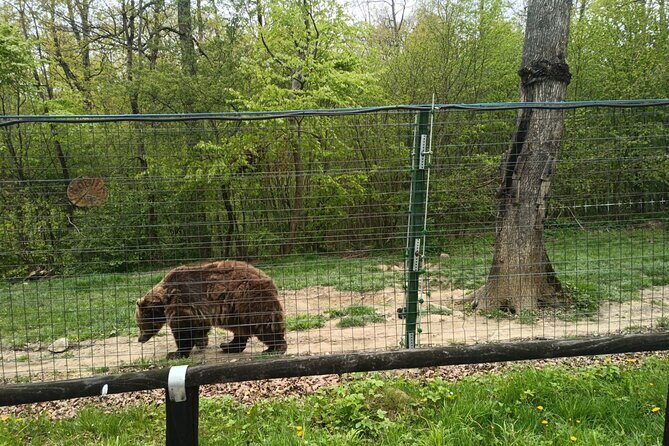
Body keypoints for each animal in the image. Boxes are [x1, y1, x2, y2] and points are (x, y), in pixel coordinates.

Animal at [136, 261, 287, 359]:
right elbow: (199, 326)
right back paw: (227, 345)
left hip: (249, 300)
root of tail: (268, 279)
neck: (165, 298)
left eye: (139, 325)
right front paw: (201, 342)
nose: (140, 339)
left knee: (264, 324)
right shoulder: (198, 309)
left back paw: (274, 348)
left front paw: (175, 353)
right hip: (236, 311)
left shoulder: (182, 300)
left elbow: (183, 328)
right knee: (241, 329)